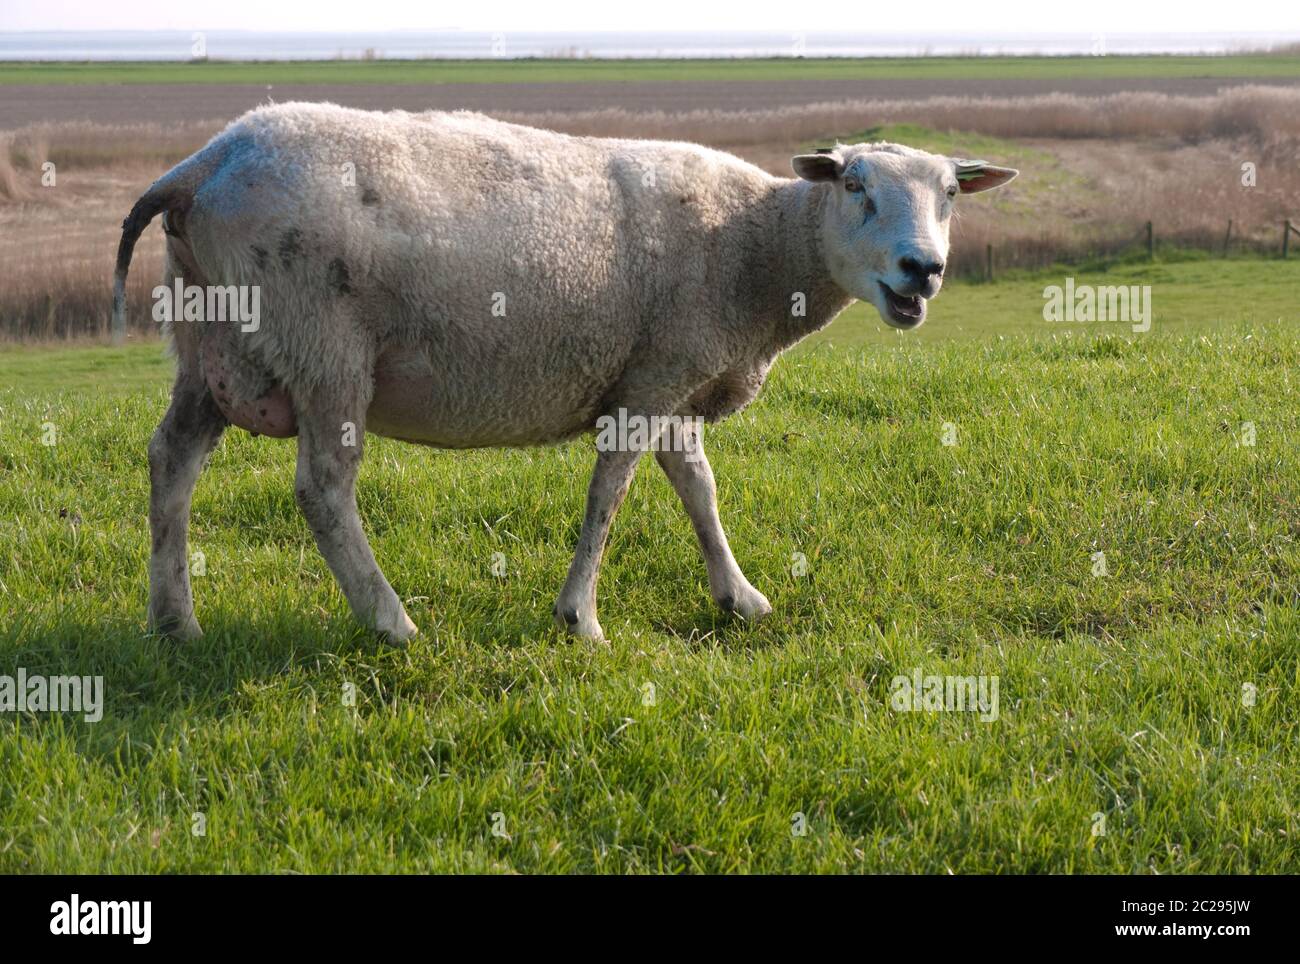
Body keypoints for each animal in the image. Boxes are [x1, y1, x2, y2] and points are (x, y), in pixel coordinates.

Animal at [114, 102, 1016, 644]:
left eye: (949, 195)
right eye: (857, 185)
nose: (922, 270)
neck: (758, 246)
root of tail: (198, 167)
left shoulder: (672, 373)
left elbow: (699, 488)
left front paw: (739, 595)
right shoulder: (654, 378)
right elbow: (610, 493)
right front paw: (579, 617)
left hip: (211, 338)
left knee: (171, 461)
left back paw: (174, 620)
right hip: (321, 343)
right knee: (324, 489)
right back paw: (390, 620)